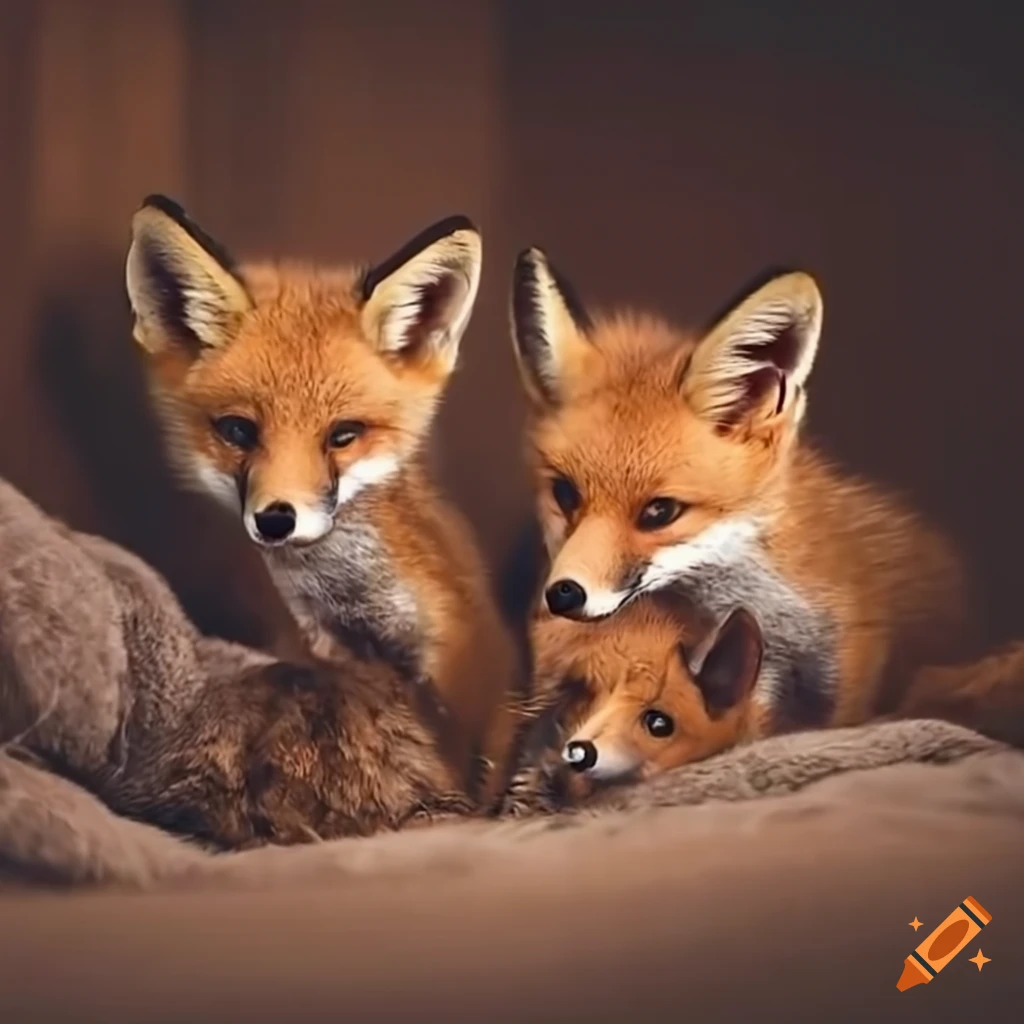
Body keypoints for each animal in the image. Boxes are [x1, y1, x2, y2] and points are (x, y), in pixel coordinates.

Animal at [123, 195, 520, 800]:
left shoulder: (465, 663)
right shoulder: (331, 650)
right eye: (237, 431)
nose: (276, 521)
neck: (356, 605)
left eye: (343, 435)